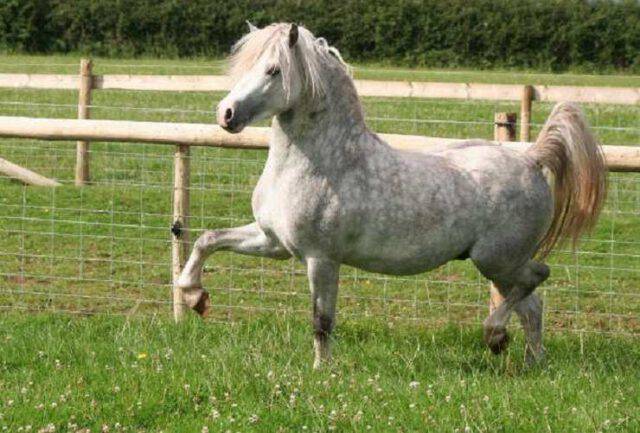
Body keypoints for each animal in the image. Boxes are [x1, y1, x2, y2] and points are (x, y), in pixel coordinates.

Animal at [175, 22, 607, 368]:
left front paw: (321, 370)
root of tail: (532, 158)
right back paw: (528, 361)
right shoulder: (274, 241)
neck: (323, 163)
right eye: (245, 65)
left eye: (273, 69)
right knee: (533, 306)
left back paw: (495, 334)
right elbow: (206, 240)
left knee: (538, 278)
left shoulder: (321, 258)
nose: (226, 114)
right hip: (499, 266)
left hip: (497, 259)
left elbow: (322, 320)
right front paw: (194, 296)